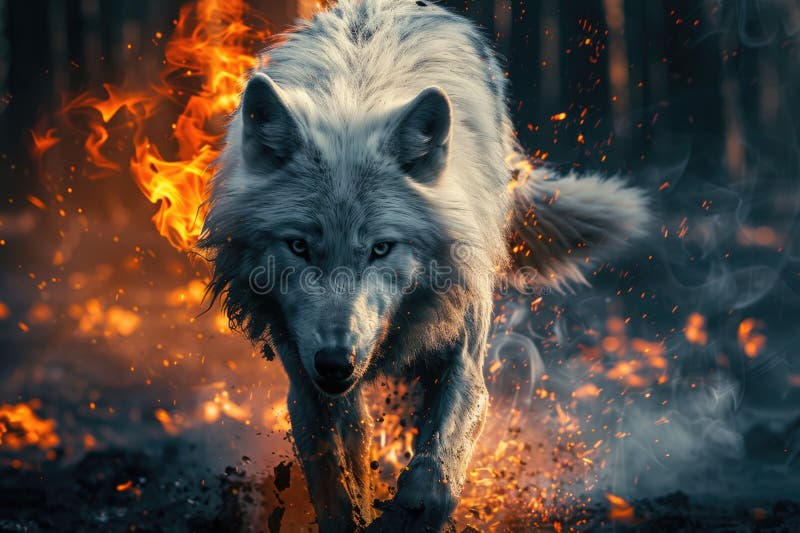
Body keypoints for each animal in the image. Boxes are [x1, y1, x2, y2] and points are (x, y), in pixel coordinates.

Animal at [199, 0, 649, 531]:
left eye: (380, 248)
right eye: (299, 247)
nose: (335, 362)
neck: (355, 97)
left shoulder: (463, 363)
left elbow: (434, 480)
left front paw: (403, 515)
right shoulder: (308, 385)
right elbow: (335, 481)